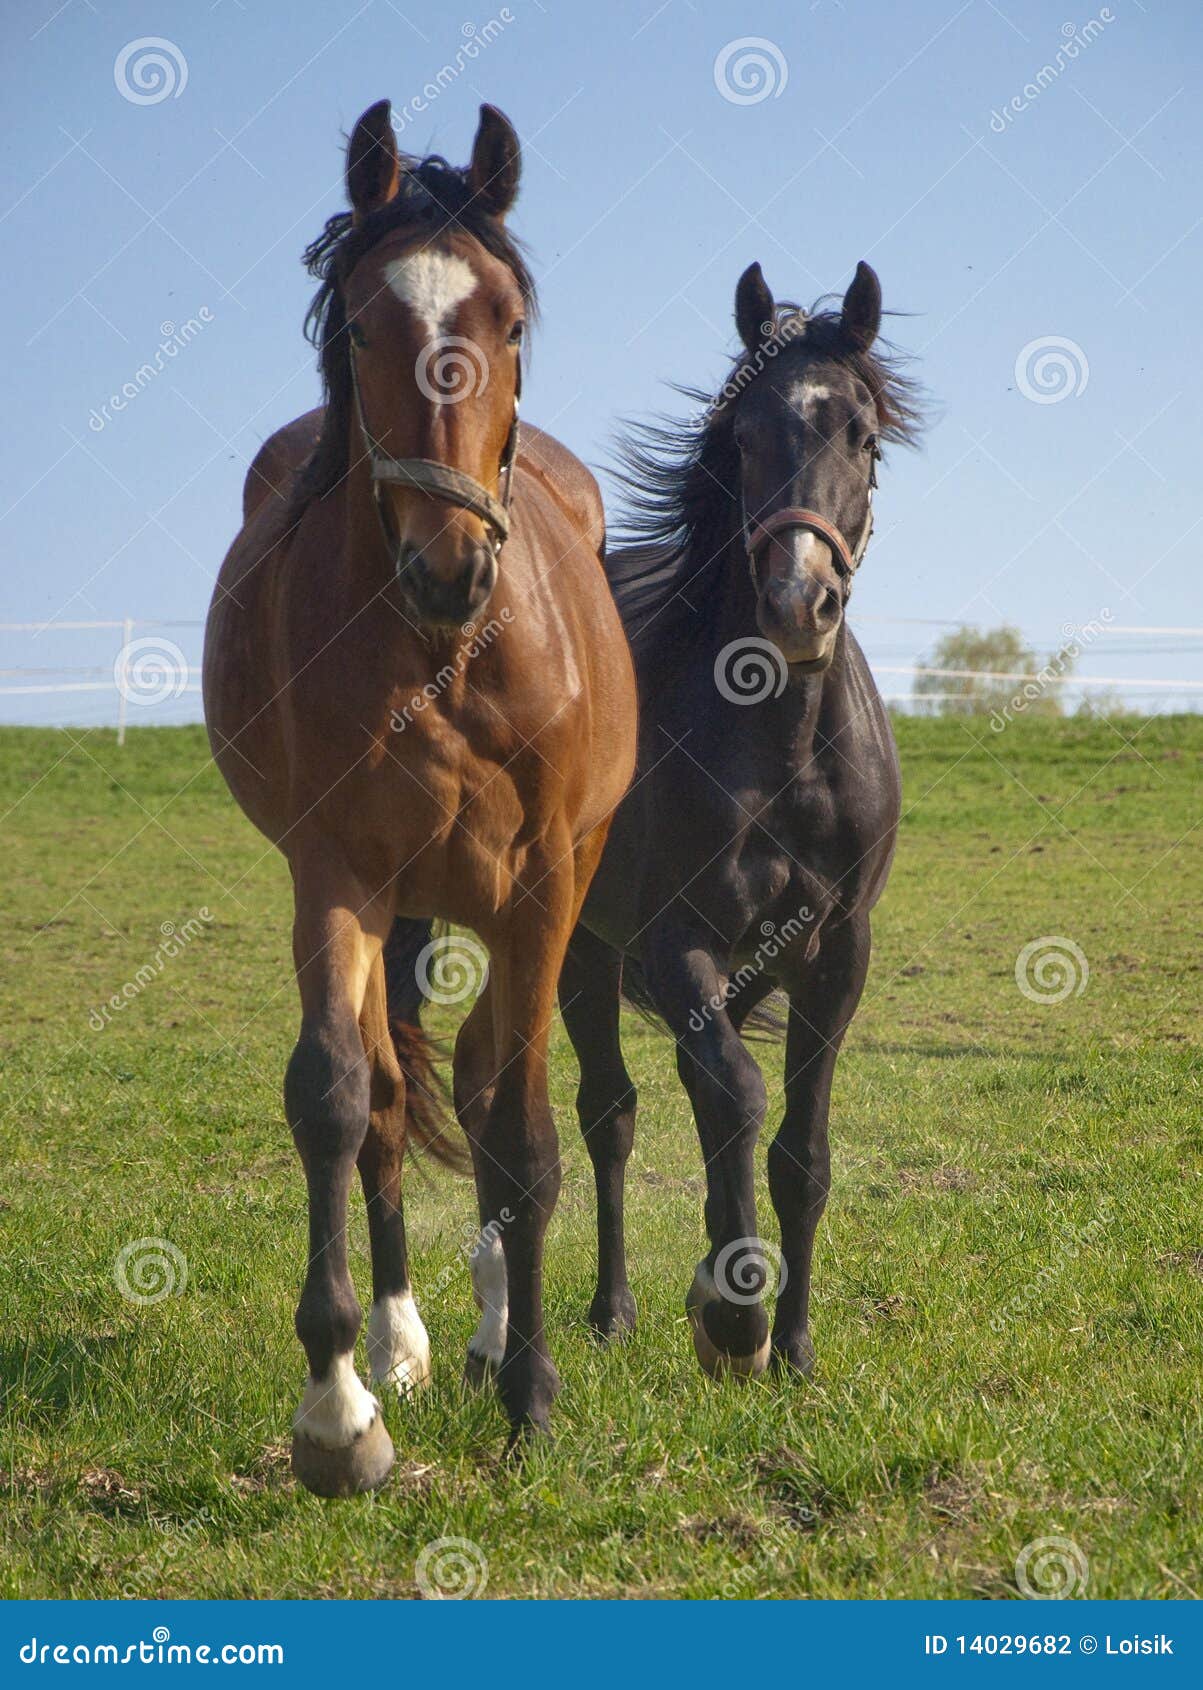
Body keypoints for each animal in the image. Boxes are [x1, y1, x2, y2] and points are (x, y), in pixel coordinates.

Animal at [203, 100, 637, 1495]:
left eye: (508, 321)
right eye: (357, 325)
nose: (448, 565)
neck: (446, 655)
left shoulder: (543, 884)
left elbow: (525, 1132)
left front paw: (535, 1395)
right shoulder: (336, 872)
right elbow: (339, 1097)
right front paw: (337, 1411)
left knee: (496, 1087)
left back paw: (503, 1328)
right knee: (399, 1096)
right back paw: (408, 1342)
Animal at [556, 259, 923, 1380]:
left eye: (861, 434)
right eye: (744, 435)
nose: (797, 601)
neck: (782, 744)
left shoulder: (837, 951)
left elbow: (799, 1148)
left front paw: (790, 1343)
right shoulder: (678, 941)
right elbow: (738, 1093)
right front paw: (732, 1315)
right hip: (579, 948)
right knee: (611, 1114)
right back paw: (615, 1309)